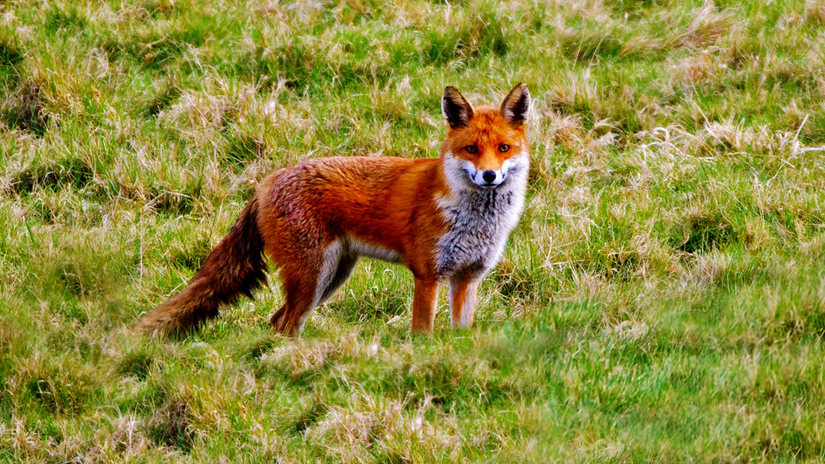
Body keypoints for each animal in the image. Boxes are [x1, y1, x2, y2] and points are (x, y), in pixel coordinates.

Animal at [137, 83, 531, 337]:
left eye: (503, 148)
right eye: (471, 149)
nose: (490, 175)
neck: (474, 220)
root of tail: (267, 182)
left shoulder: (468, 277)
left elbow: (460, 331)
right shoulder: (428, 274)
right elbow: (423, 332)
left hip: (331, 276)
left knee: (278, 321)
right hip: (313, 277)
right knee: (284, 323)